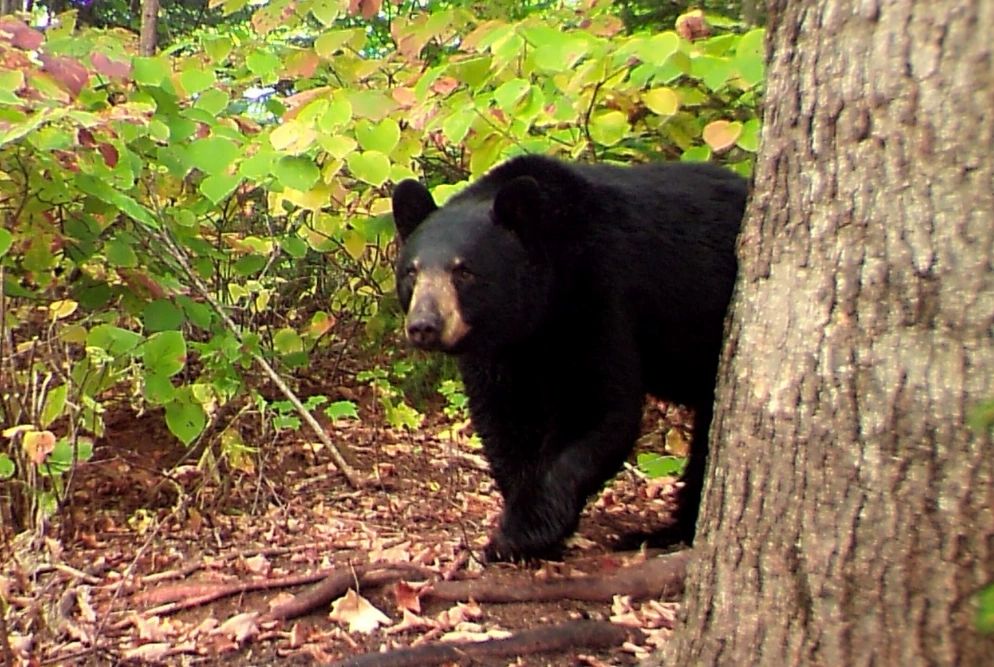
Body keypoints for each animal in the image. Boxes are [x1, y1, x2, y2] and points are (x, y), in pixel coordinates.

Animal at [391, 154, 747, 562]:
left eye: (464, 271)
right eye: (411, 271)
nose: (424, 326)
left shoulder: (597, 293)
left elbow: (597, 407)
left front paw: (521, 533)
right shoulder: (501, 349)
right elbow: (506, 420)